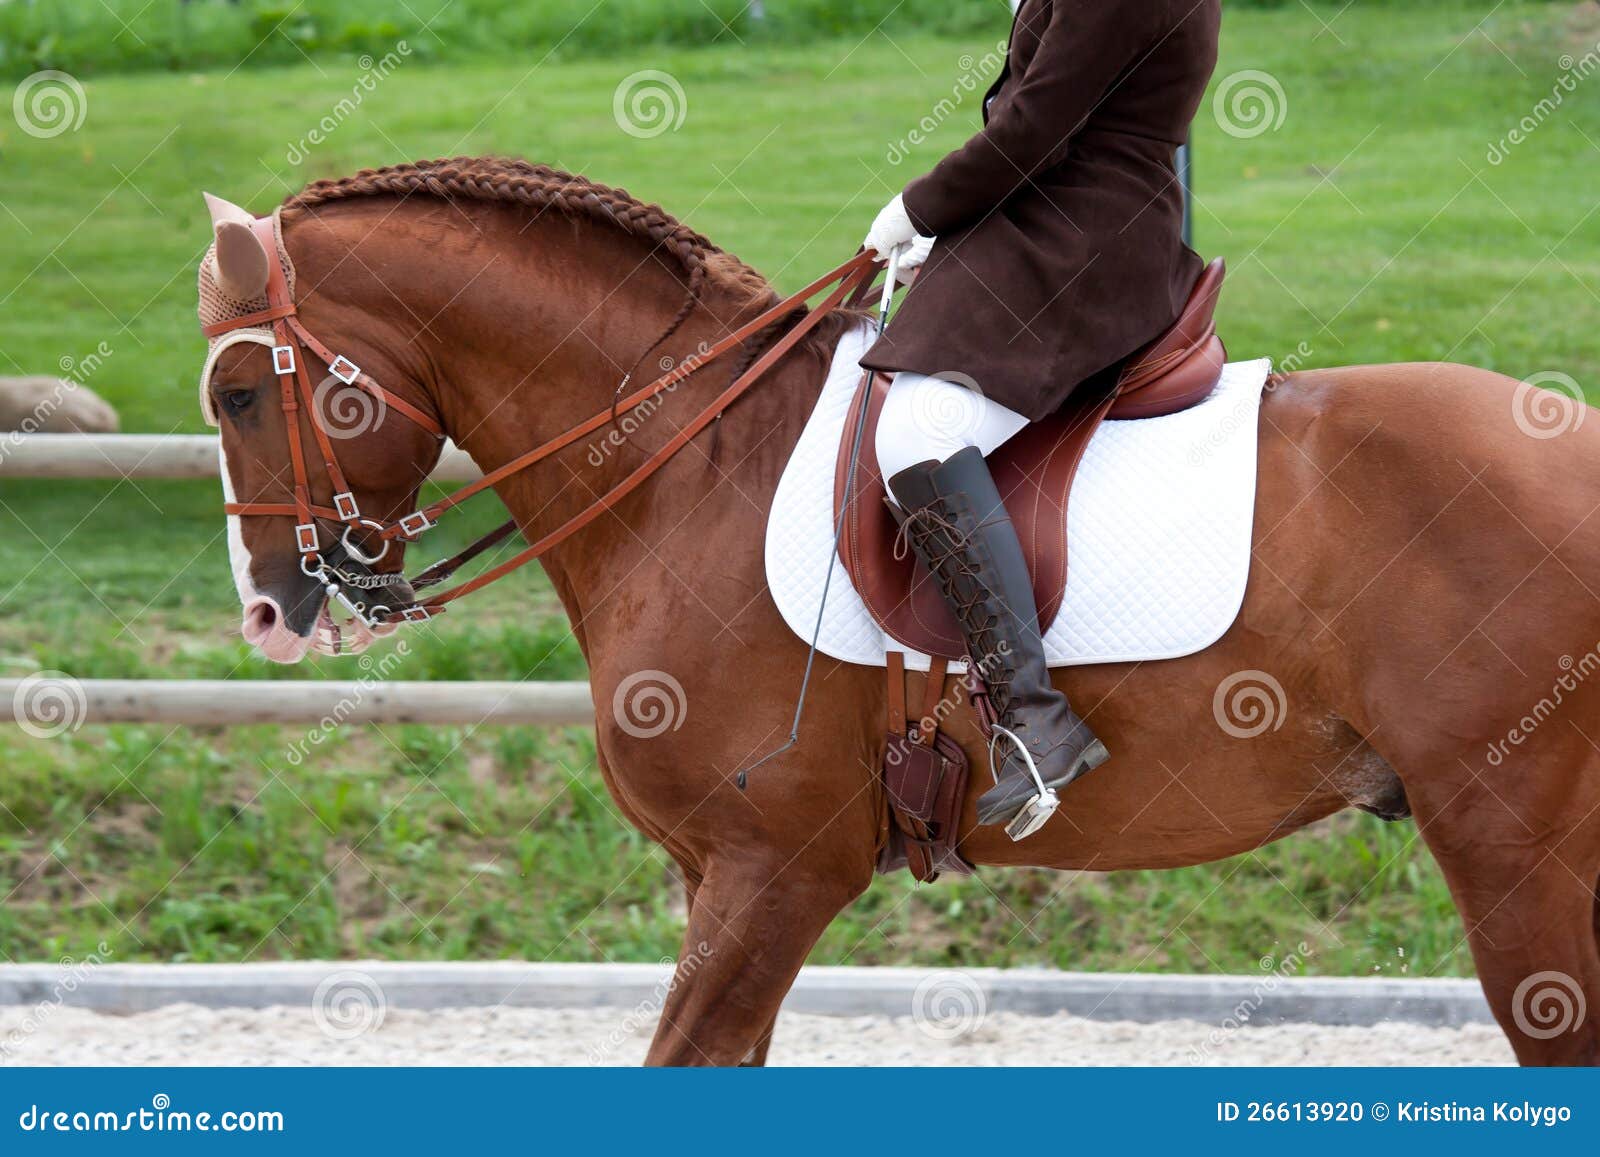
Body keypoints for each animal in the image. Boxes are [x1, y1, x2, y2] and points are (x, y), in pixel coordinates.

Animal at [199, 158, 1599, 1066]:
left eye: (236, 394)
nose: (268, 610)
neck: (691, 462)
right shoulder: (726, 877)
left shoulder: (773, 870)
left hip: (1511, 843)